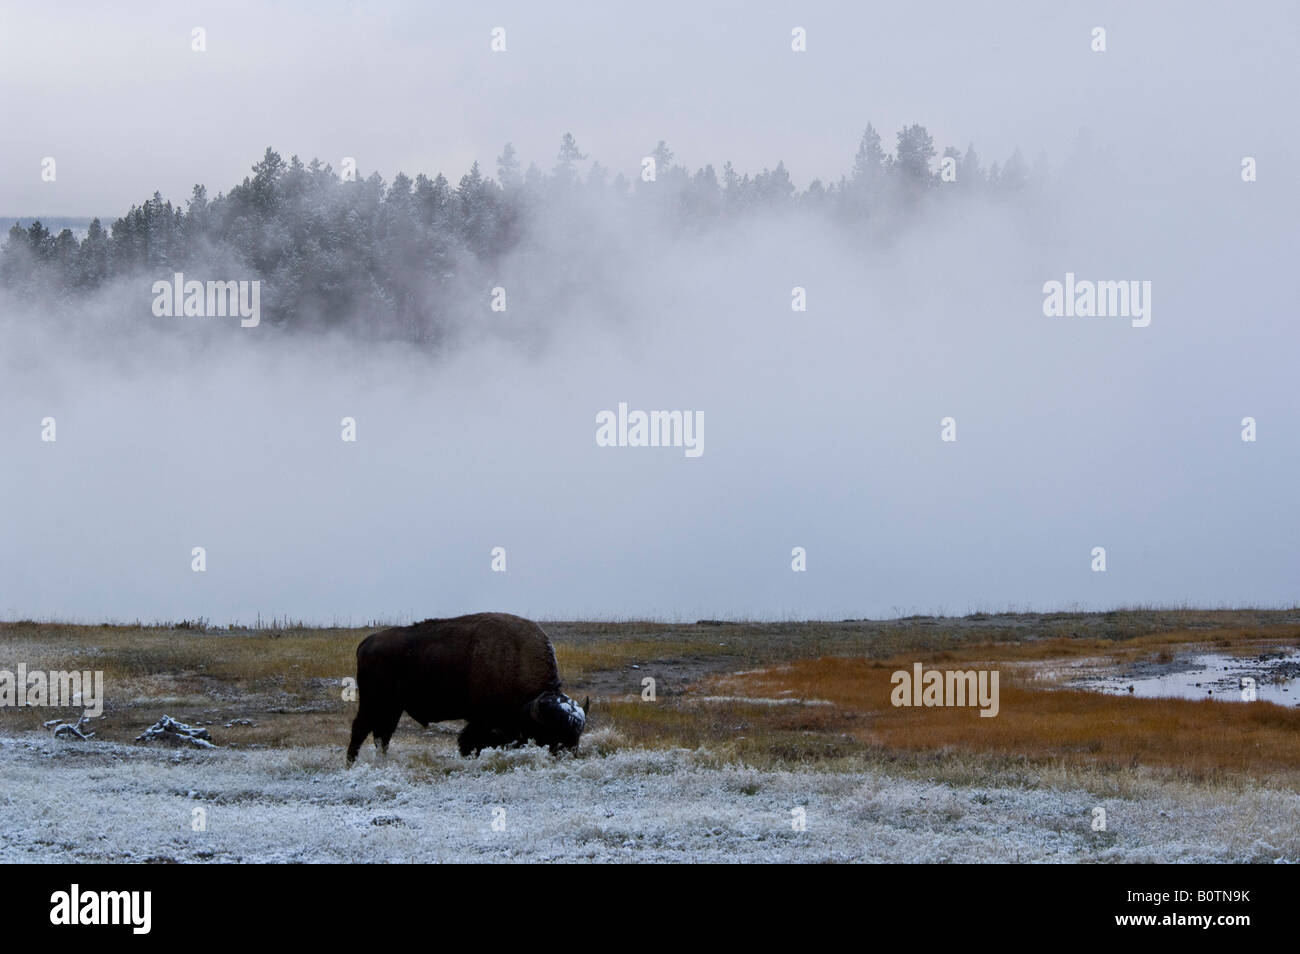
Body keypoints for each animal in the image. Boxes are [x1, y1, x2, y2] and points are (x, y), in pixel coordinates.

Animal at [346, 612, 588, 765]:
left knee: (382, 735)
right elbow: (470, 742)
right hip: (374, 702)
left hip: (393, 707)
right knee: (361, 729)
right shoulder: (482, 721)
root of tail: (365, 644)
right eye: (554, 731)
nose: (570, 754)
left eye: (578, 734)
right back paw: (351, 763)